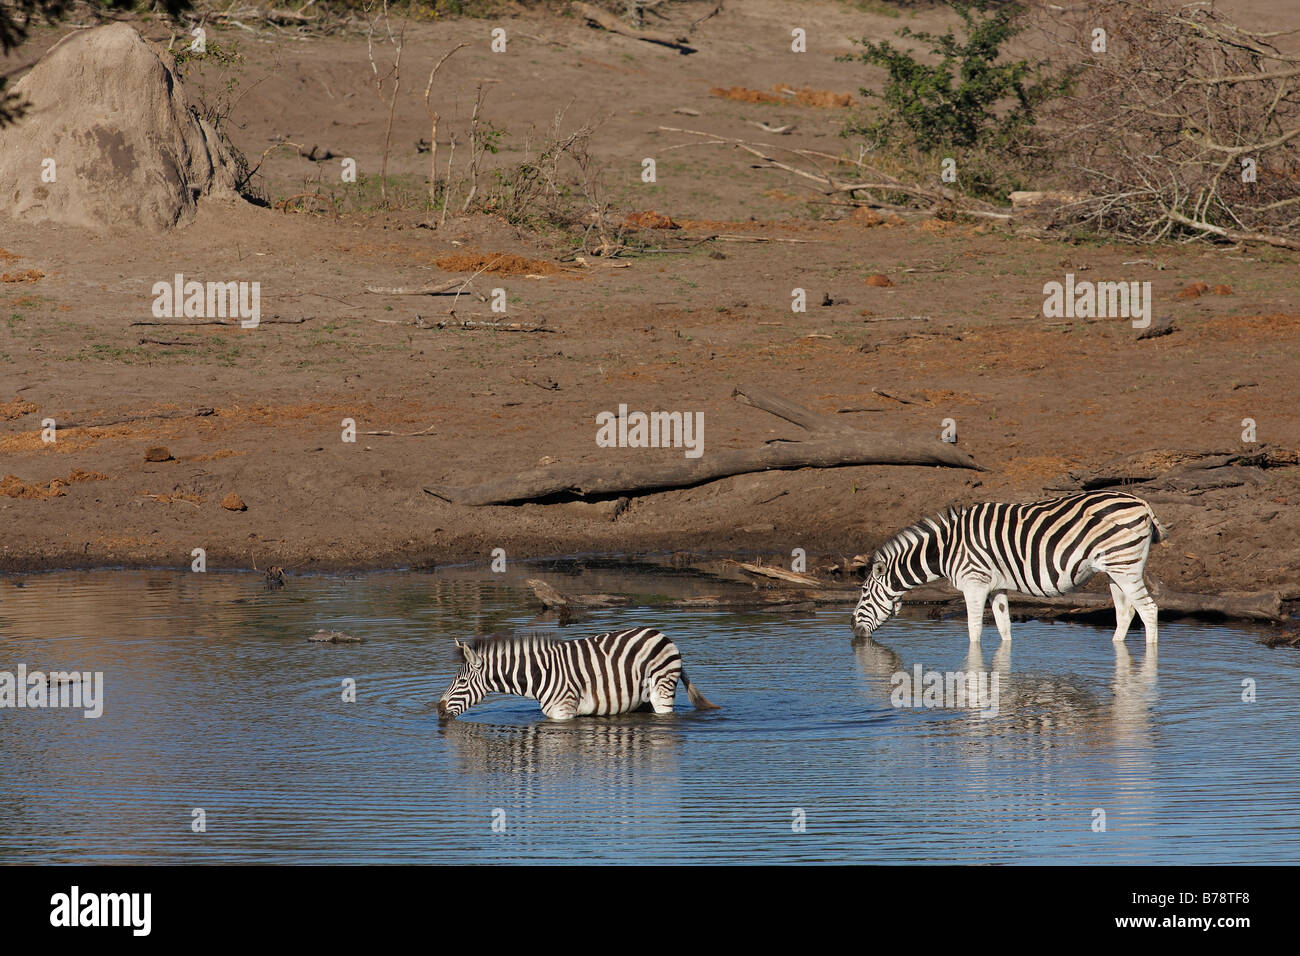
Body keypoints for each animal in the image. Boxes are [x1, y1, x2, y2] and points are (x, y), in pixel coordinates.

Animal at [436, 626, 719, 721]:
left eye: (462, 681)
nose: (438, 709)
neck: (539, 675)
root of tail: (663, 635)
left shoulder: (563, 713)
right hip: (642, 697)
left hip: (662, 689)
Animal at [852, 491, 1168, 645]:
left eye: (865, 595)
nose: (853, 631)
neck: (947, 548)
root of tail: (1142, 502)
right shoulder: (997, 587)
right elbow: (1004, 628)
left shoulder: (974, 583)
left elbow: (974, 630)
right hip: (1116, 570)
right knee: (1126, 612)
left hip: (1125, 566)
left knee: (1149, 610)